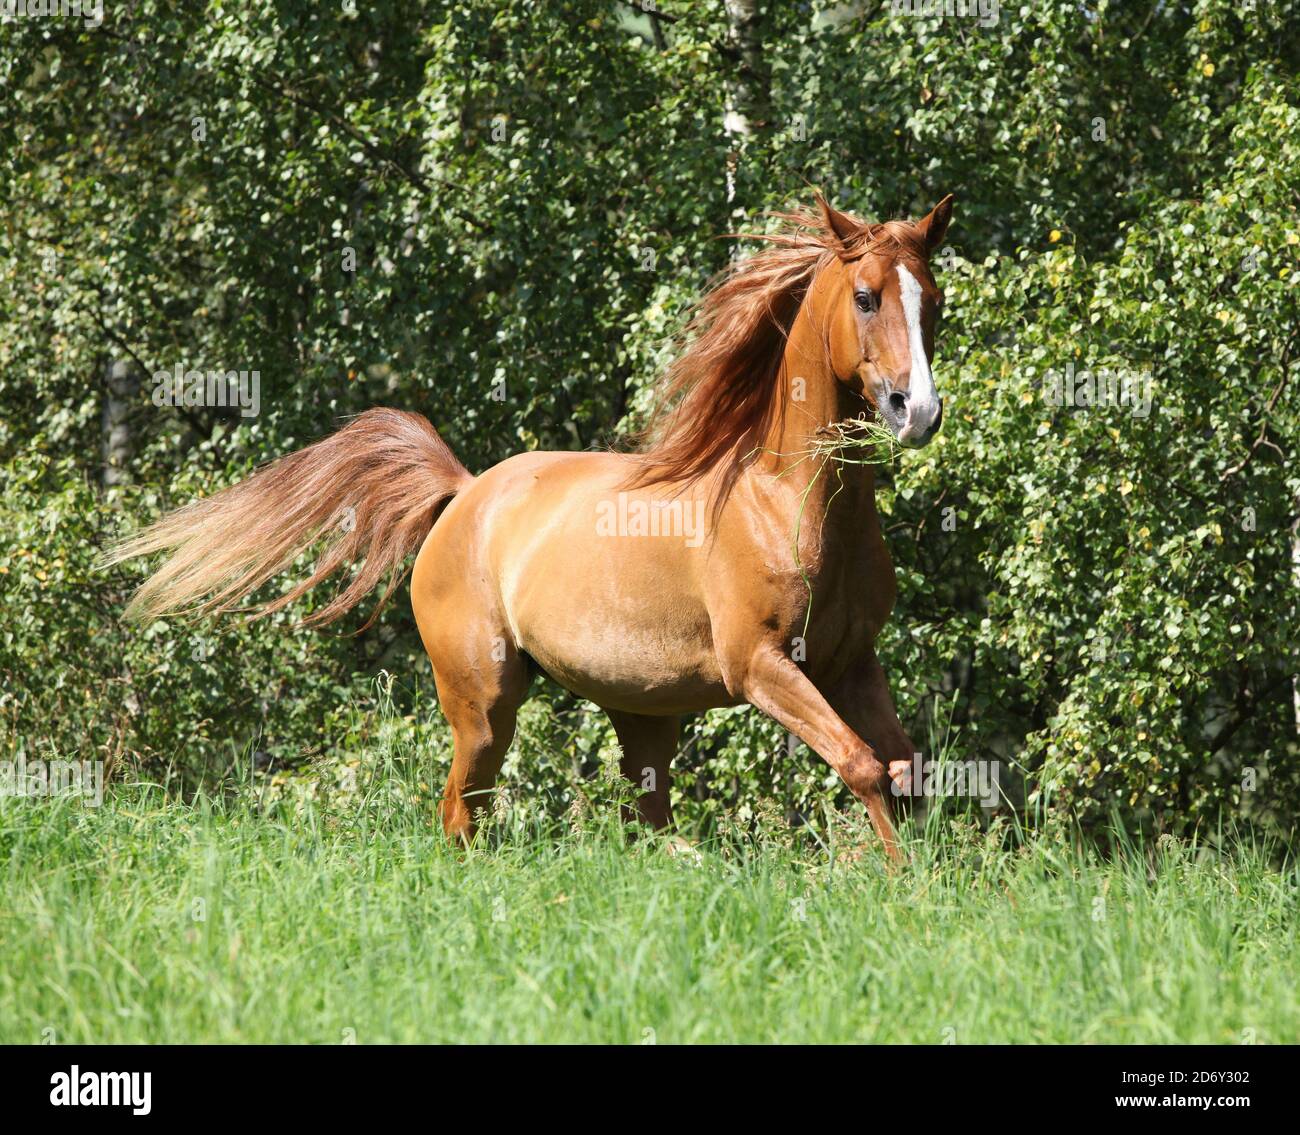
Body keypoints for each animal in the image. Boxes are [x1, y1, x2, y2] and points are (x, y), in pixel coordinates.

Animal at [107, 192, 953, 861]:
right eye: (867, 296)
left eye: (934, 300)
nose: (917, 411)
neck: (782, 505)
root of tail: (463, 493)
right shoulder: (762, 665)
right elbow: (862, 763)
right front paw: (900, 883)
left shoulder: (851, 663)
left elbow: (905, 769)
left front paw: (922, 879)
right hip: (485, 706)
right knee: (462, 811)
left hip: (644, 715)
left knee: (643, 823)